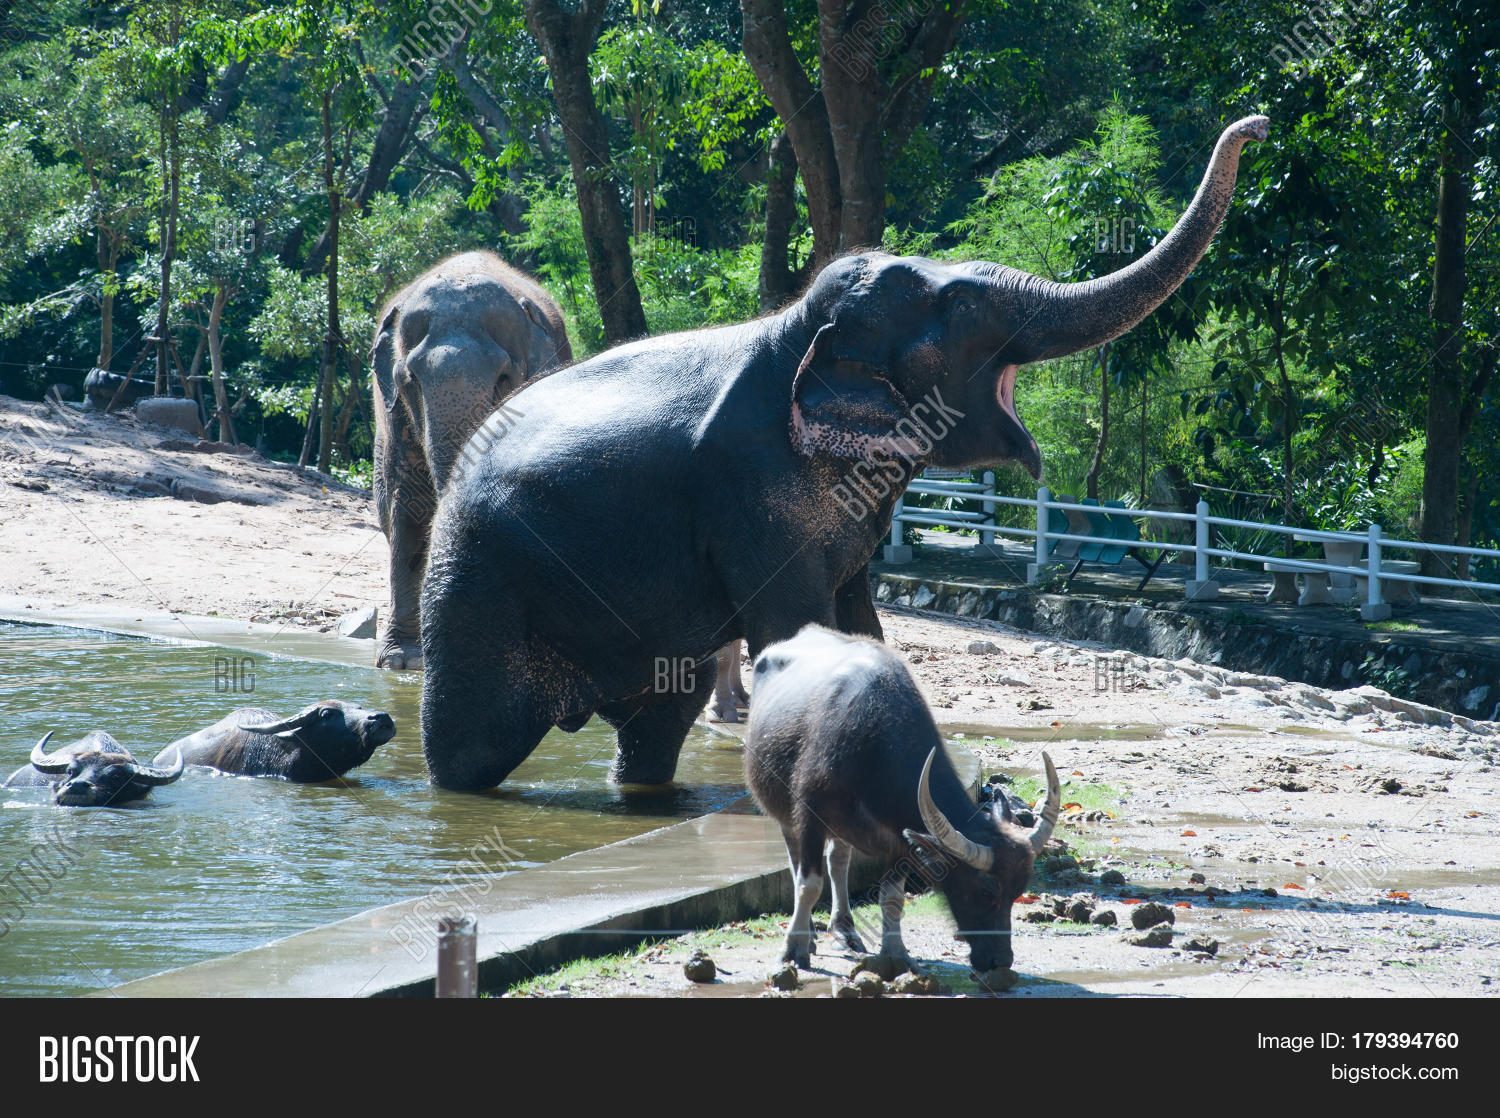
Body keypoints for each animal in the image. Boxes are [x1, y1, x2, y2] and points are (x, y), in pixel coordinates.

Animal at [419, 115, 1269, 790]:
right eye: (964, 304)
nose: (1257, 126)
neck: (793, 329)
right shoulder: (754, 492)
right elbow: (797, 625)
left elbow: (861, 623)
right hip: (476, 576)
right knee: (471, 745)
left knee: (658, 720)